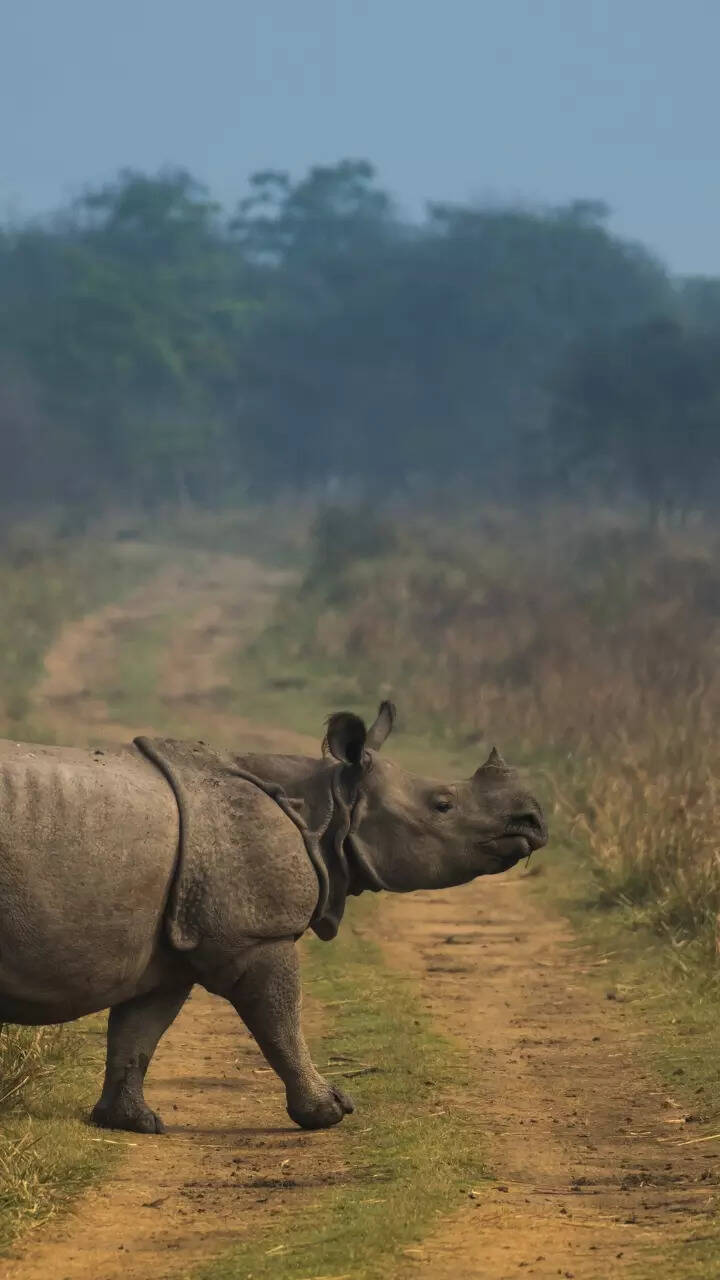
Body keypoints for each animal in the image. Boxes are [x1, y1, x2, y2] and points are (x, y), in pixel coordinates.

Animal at [0, 702, 547, 1132]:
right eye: (443, 805)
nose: (534, 822)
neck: (327, 805)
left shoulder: (169, 945)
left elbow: (139, 1032)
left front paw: (131, 1122)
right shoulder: (255, 935)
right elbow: (281, 1021)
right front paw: (328, 1111)